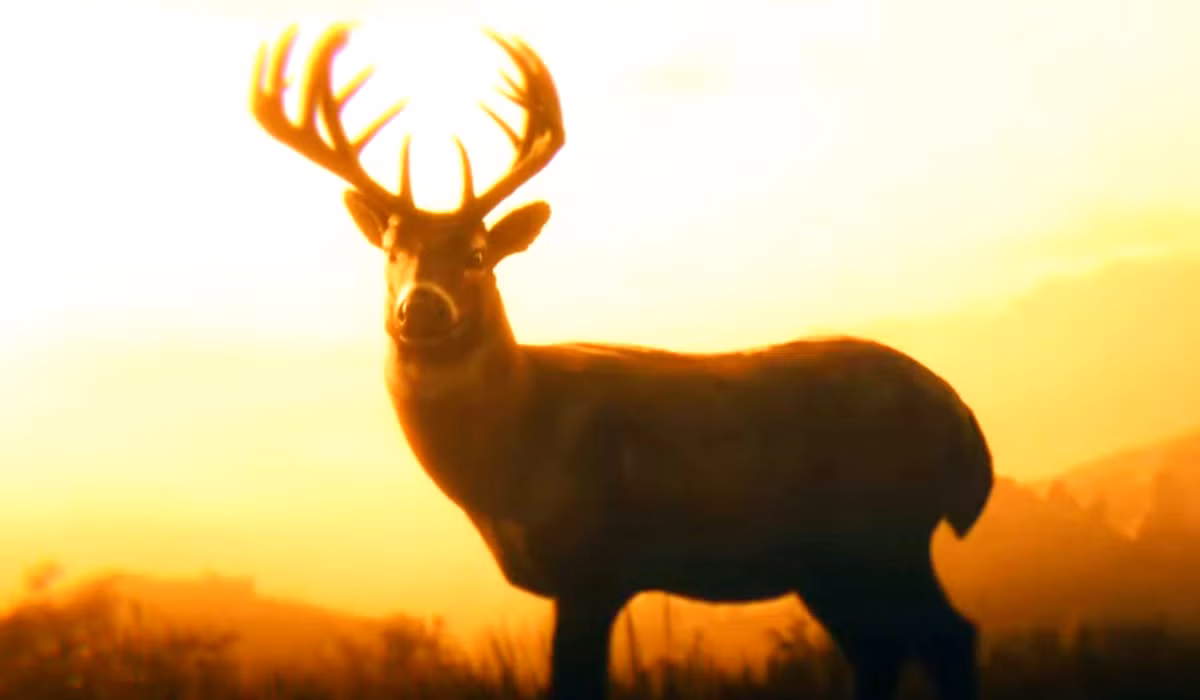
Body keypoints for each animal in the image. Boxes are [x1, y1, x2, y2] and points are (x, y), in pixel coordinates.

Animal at [250, 24, 994, 700]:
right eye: (391, 250)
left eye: (478, 254)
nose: (423, 309)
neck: (513, 456)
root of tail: (964, 423)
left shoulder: (594, 565)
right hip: (833, 561)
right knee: (882, 651)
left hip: (886, 530)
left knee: (948, 635)